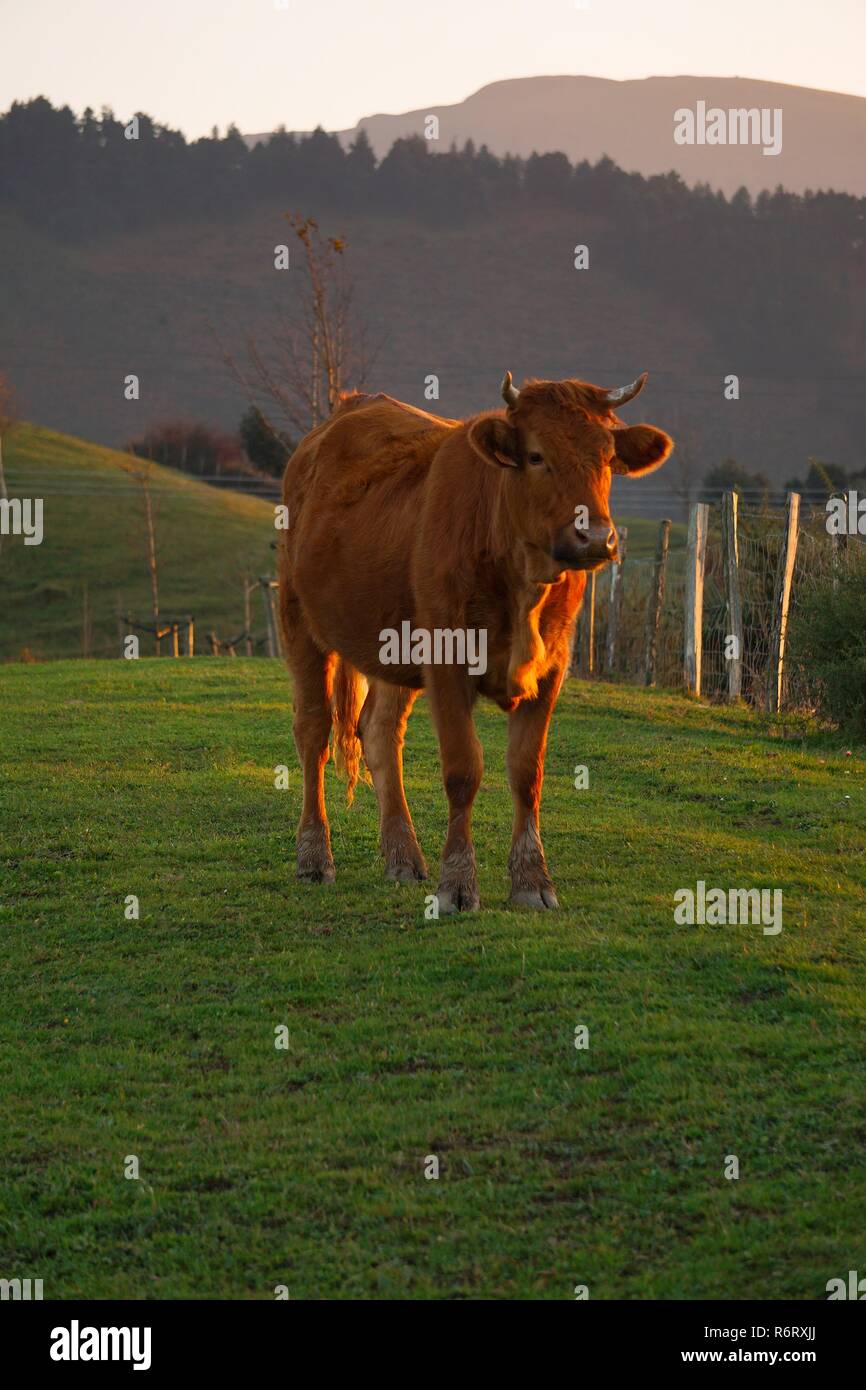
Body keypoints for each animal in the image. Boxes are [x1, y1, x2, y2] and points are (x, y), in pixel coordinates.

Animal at [278, 370, 673, 913]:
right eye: (536, 456)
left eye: (608, 458)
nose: (596, 539)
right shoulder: (446, 662)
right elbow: (463, 771)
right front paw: (458, 883)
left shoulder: (553, 668)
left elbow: (527, 772)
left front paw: (532, 879)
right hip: (299, 619)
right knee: (313, 734)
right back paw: (314, 857)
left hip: (391, 643)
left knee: (378, 733)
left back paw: (403, 856)